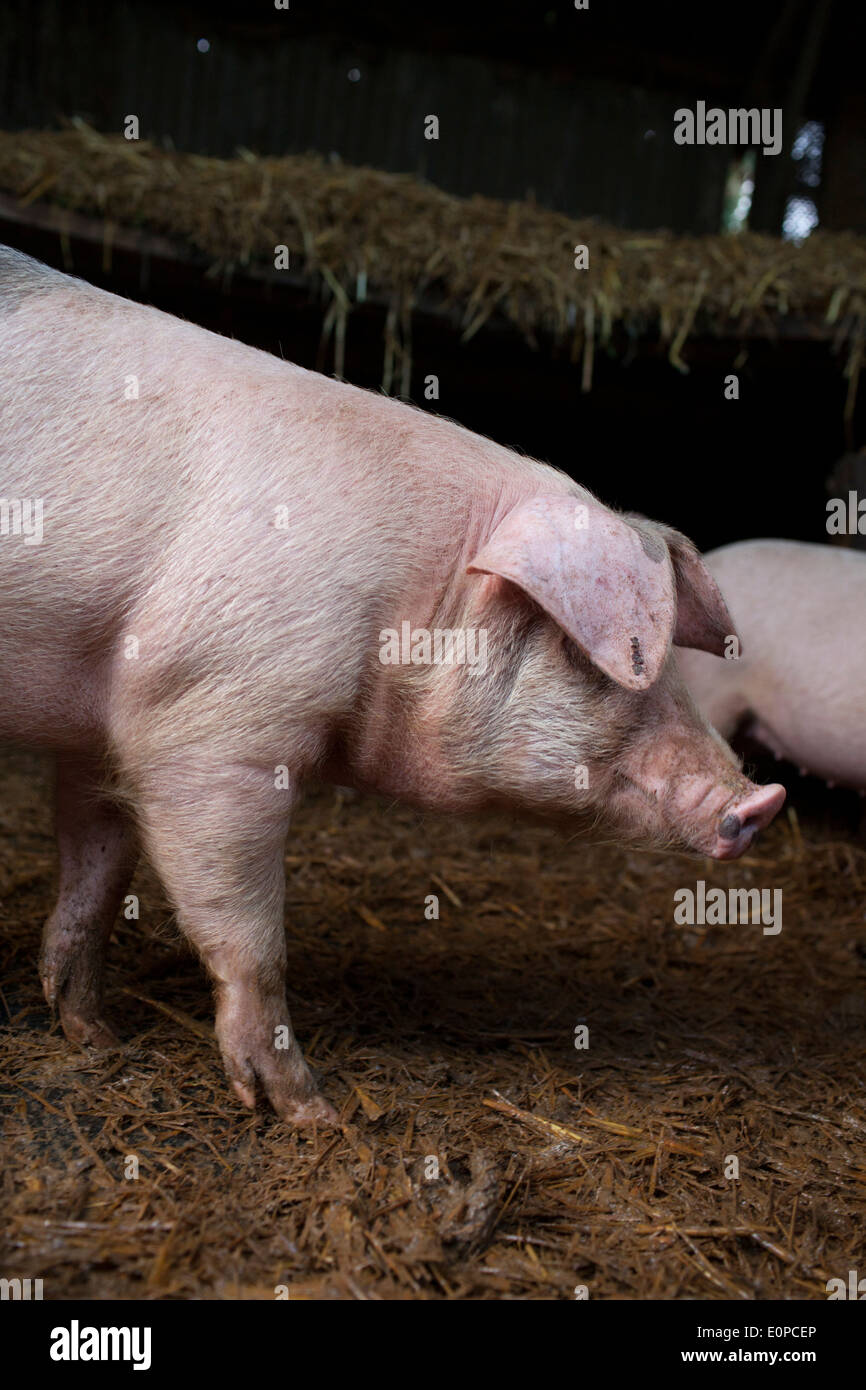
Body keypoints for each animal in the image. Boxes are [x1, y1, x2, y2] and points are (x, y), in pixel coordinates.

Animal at [0, 245, 784, 1125]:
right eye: (608, 657)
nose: (763, 799)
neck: (422, 601)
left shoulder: (99, 723)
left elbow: (95, 872)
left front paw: (94, 1035)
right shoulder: (207, 722)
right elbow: (247, 933)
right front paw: (310, 1111)